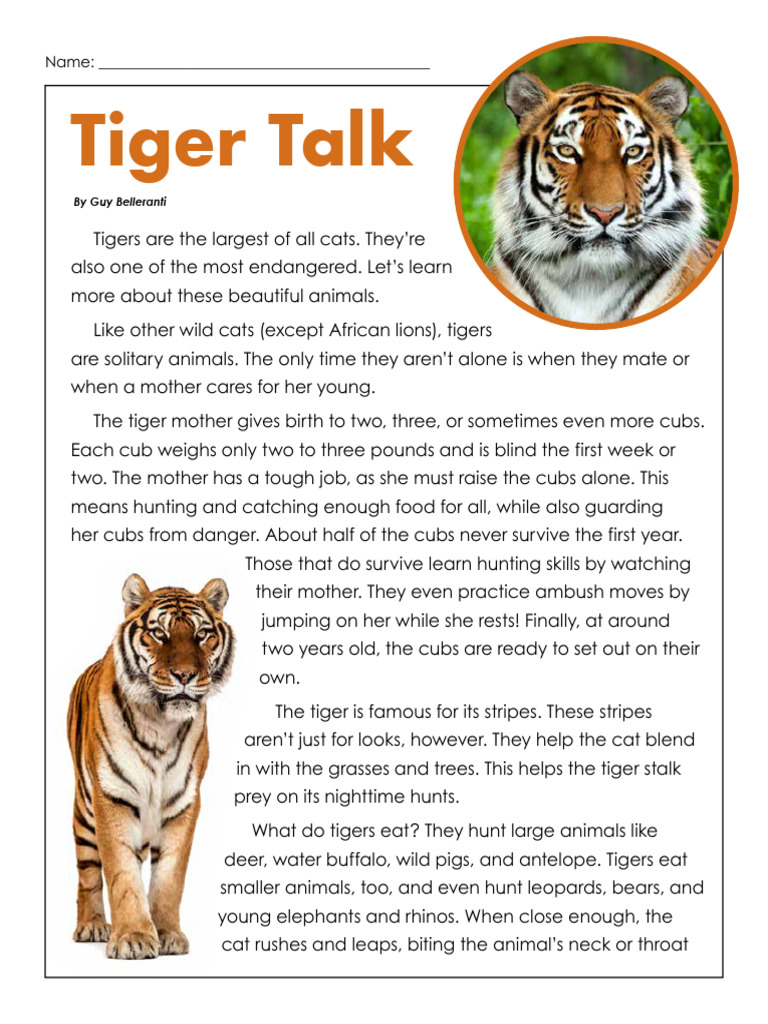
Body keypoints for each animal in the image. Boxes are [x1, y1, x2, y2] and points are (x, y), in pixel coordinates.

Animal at [67, 574, 235, 960]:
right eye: (159, 633)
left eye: (202, 634)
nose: (185, 675)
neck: (161, 723)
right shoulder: (111, 795)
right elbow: (122, 873)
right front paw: (133, 937)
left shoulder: (183, 802)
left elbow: (170, 878)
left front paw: (168, 934)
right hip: (84, 810)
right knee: (88, 872)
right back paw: (92, 925)